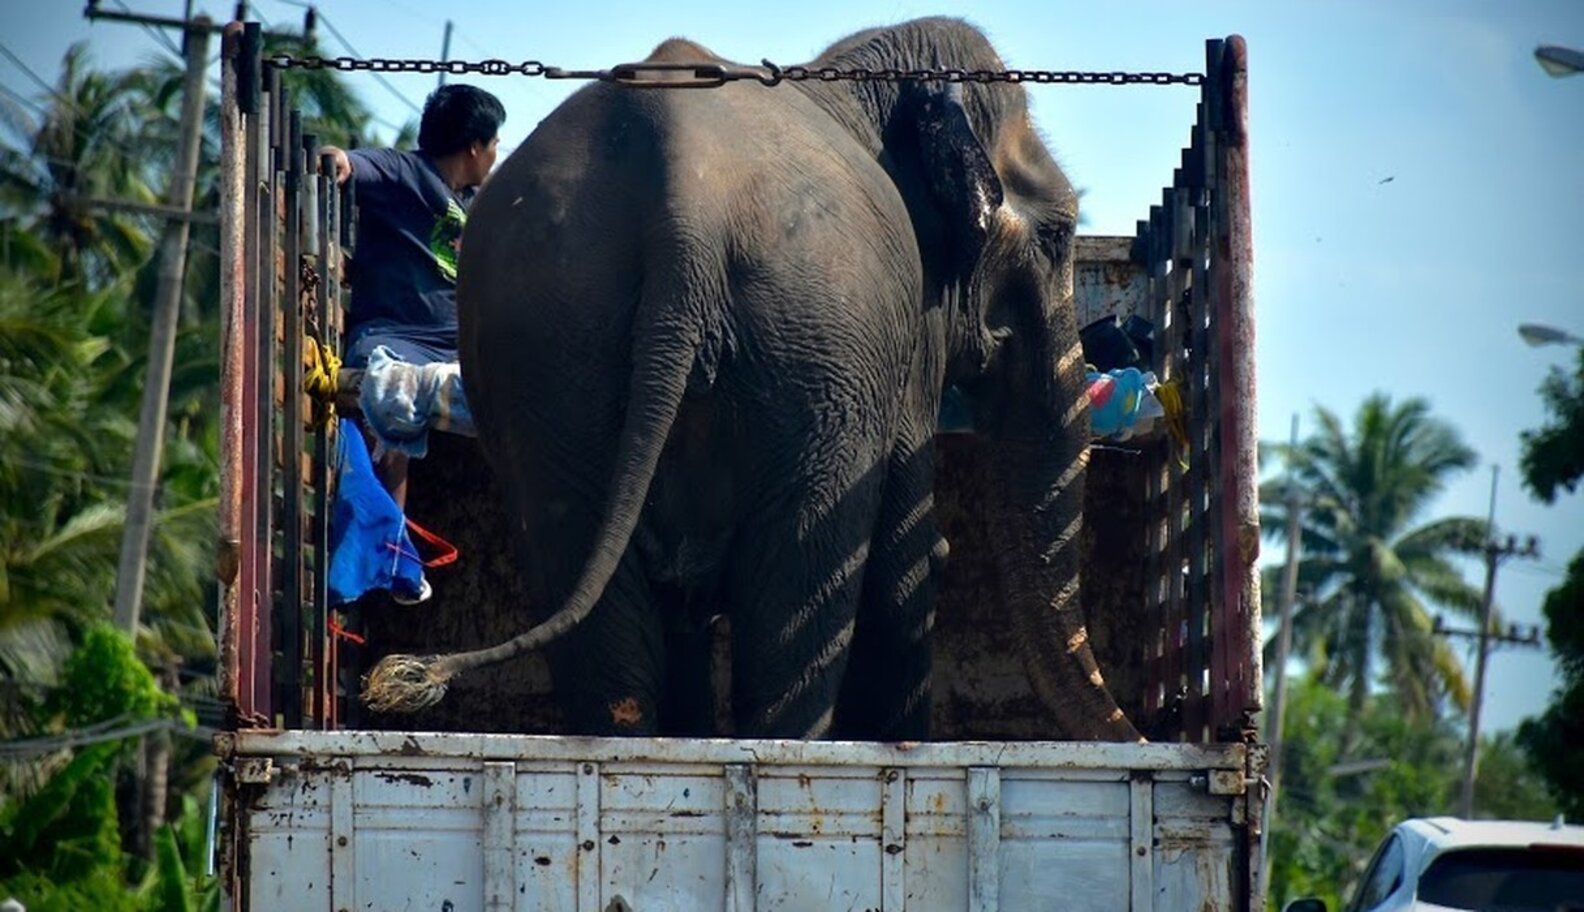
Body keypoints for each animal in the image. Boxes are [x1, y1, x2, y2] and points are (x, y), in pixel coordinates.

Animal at [359, 16, 1144, 743]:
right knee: (800, 596)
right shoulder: (908, 344)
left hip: (553, 347)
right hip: (819, 357)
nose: (1136, 736)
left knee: (593, 601)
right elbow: (907, 552)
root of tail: (683, 217)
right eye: (1057, 235)